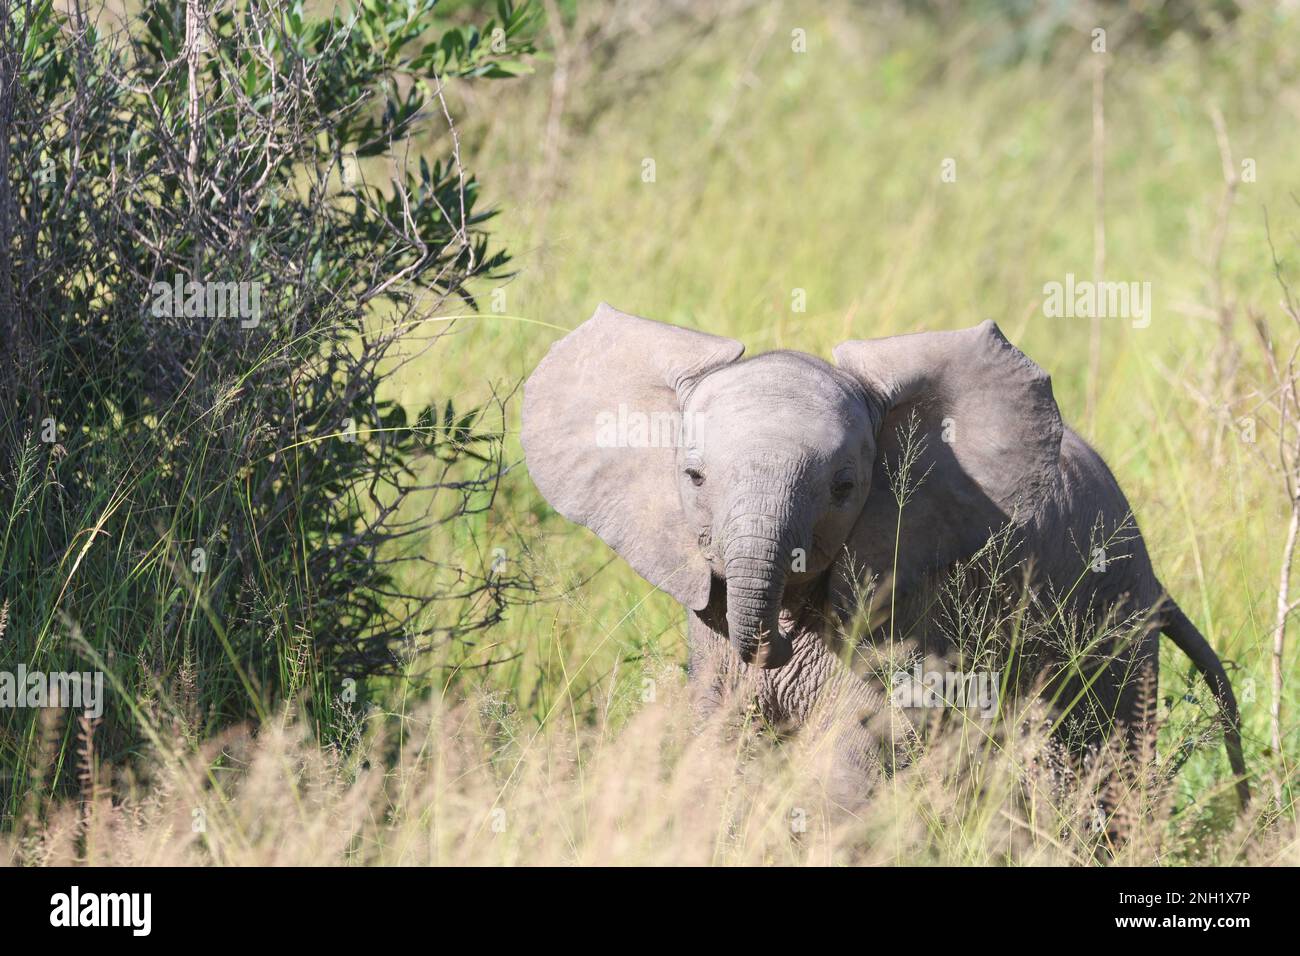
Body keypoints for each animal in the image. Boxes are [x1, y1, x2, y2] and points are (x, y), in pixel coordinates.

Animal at [521, 303, 1248, 810]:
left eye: (844, 488)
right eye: (694, 478)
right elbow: (716, 742)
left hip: (1114, 620)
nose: (774, 643)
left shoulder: (912, 590)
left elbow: (853, 751)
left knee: (1104, 758)